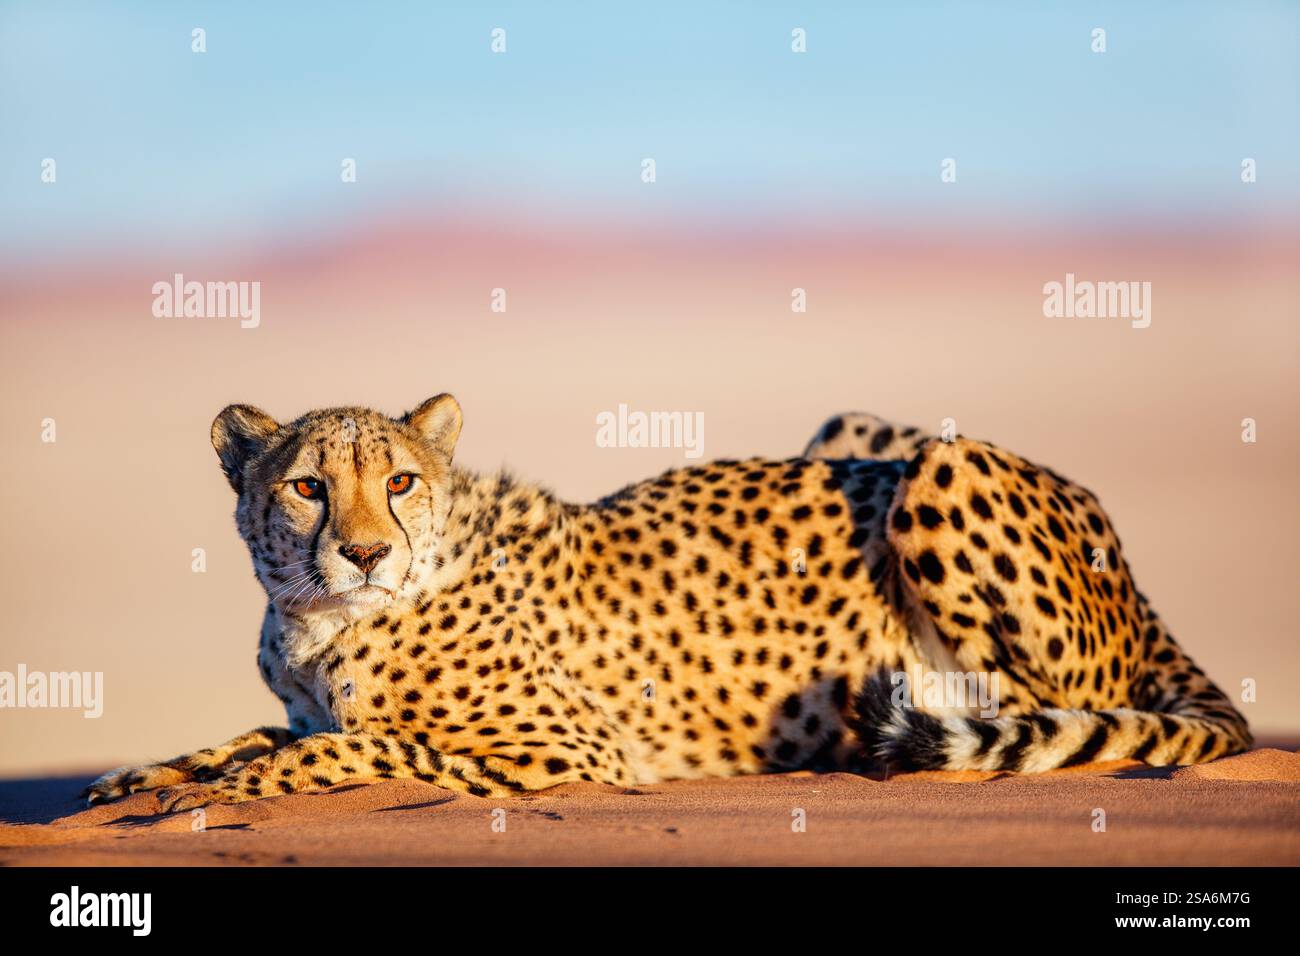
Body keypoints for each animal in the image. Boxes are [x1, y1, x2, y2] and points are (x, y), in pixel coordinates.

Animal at [85, 397, 1251, 810]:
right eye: (308, 486)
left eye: (401, 480)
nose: (363, 550)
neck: (322, 619)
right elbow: (256, 733)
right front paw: (149, 773)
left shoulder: (571, 751)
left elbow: (368, 747)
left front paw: (245, 781)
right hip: (854, 435)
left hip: (944, 465)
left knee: (1051, 714)